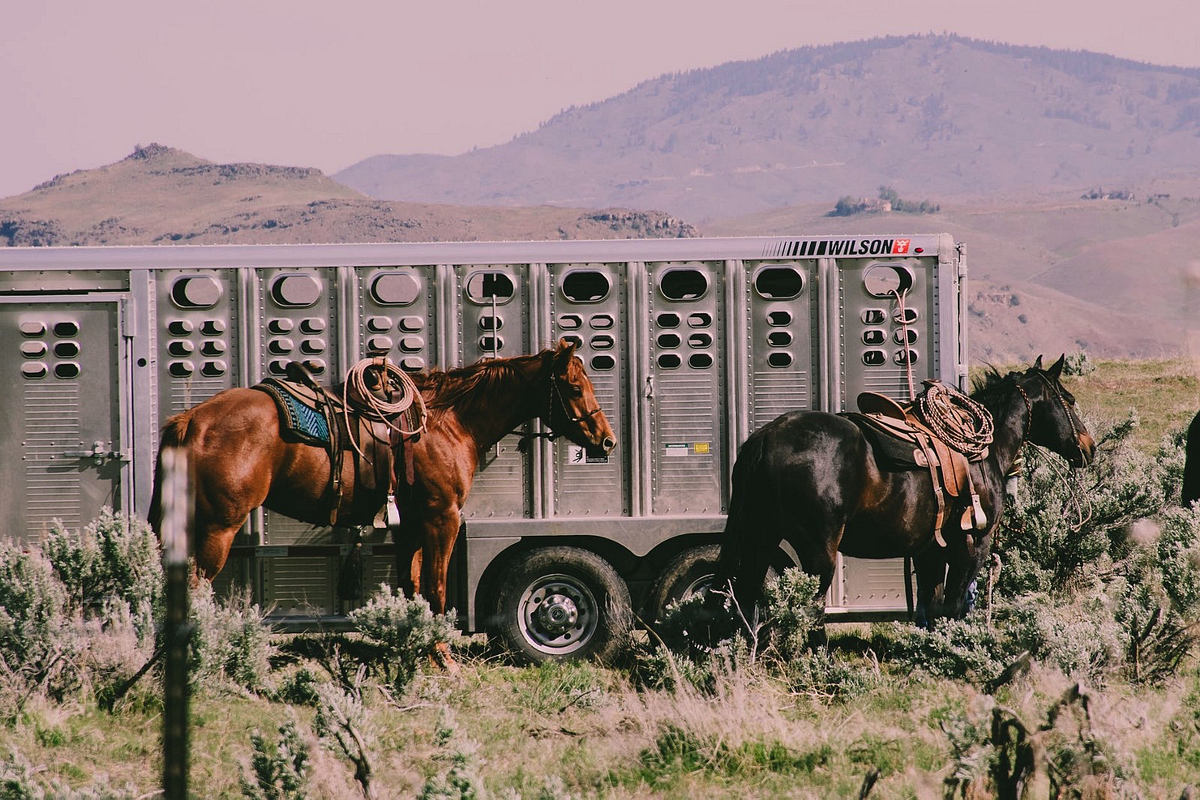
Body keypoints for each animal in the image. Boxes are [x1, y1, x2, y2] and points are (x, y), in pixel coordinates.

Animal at [148, 339, 616, 627]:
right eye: (575, 387)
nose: (606, 439)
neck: (448, 422)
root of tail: (191, 421)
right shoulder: (442, 517)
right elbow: (437, 588)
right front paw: (445, 660)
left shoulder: (411, 523)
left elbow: (413, 586)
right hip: (217, 529)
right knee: (194, 589)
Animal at [713, 354, 1096, 628]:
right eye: (1069, 400)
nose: (1088, 447)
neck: (984, 453)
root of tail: (767, 436)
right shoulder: (973, 544)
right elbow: (954, 606)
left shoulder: (929, 551)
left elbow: (932, 607)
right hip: (817, 554)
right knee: (803, 610)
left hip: (761, 538)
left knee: (746, 600)